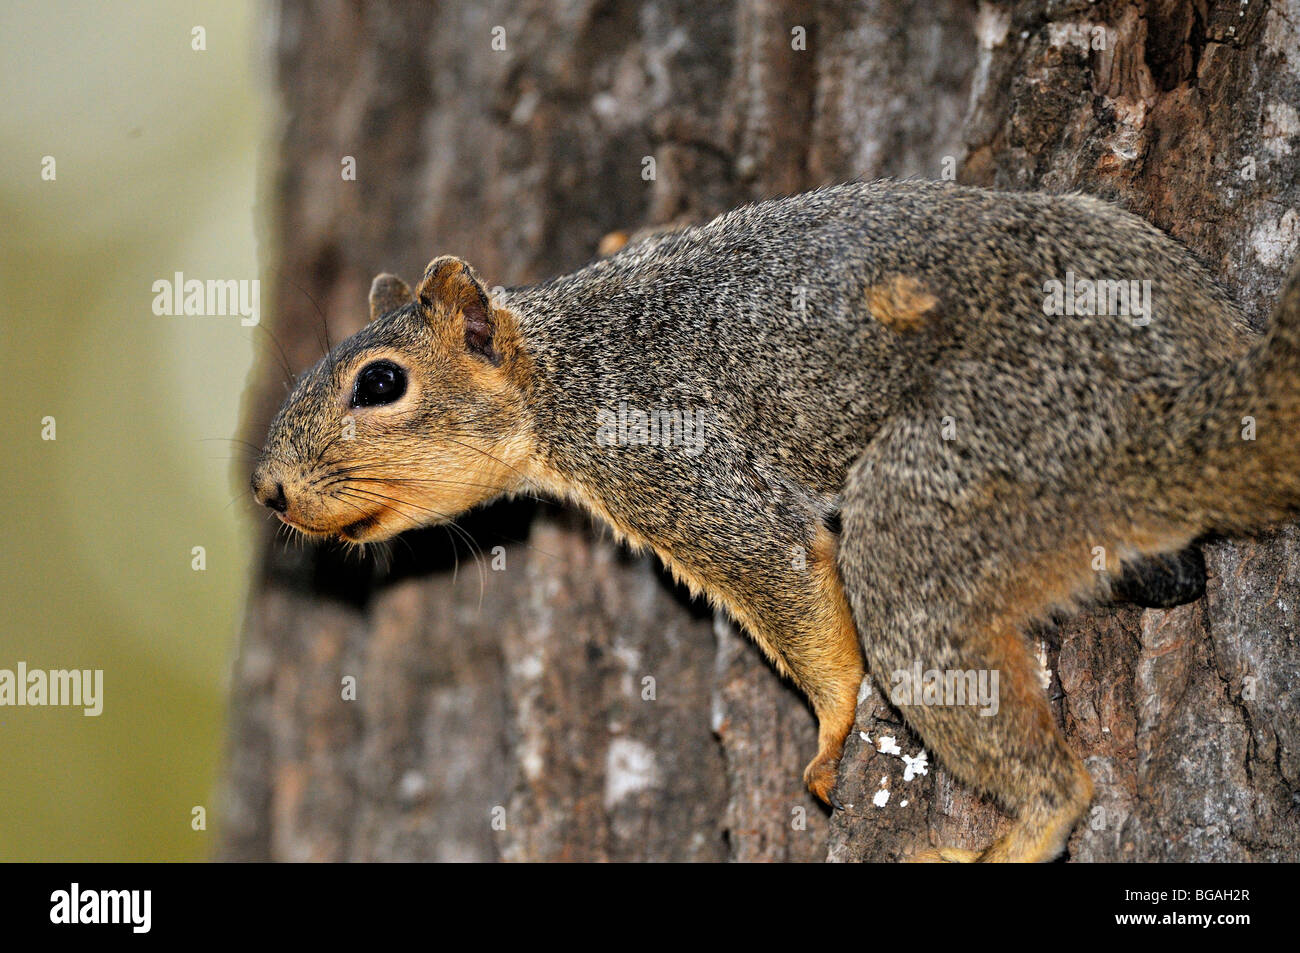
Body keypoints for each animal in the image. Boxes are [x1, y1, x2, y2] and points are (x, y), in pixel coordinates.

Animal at [252, 180, 1300, 862]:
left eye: (380, 383)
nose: (267, 491)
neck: (567, 366)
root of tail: (1184, 417)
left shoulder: (678, 459)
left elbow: (790, 579)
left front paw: (832, 733)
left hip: (968, 473)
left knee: (1013, 729)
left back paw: (1021, 833)